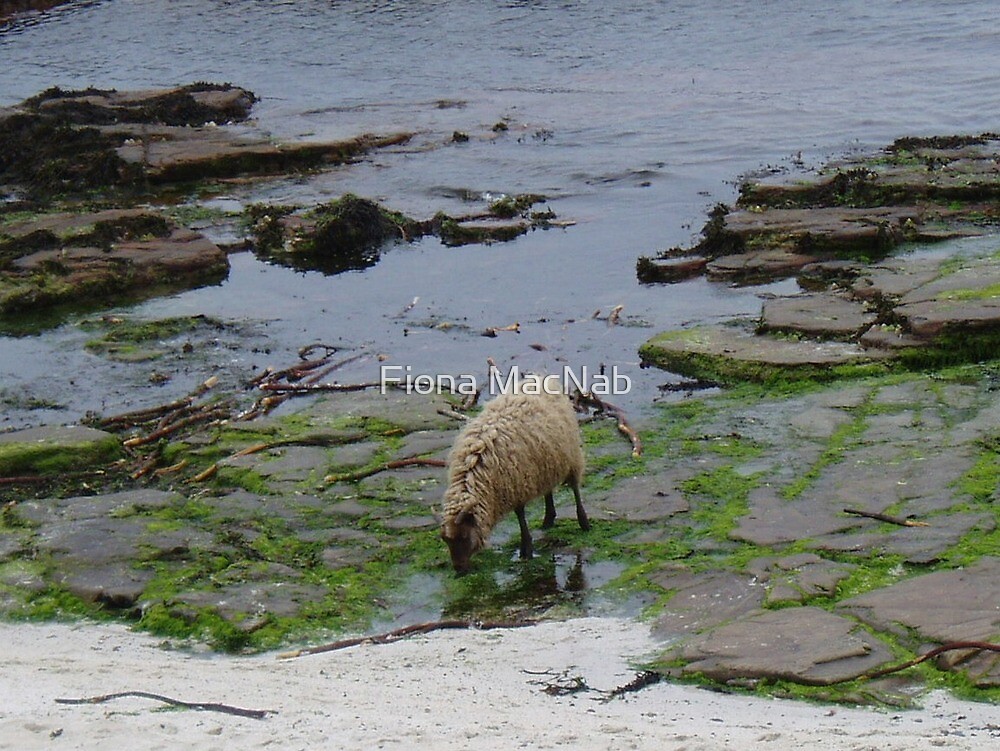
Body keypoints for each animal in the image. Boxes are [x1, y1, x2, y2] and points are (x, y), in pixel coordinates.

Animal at [440, 375, 590, 573]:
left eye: (464, 536)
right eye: (446, 540)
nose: (459, 570)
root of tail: (541, 379)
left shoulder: (516, 483)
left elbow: (520, 514)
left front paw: (526, 549)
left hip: (570, 455)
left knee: (575, 487)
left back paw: (583, 522)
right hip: (545, 463)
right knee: (548, 489)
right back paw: (548, 519)